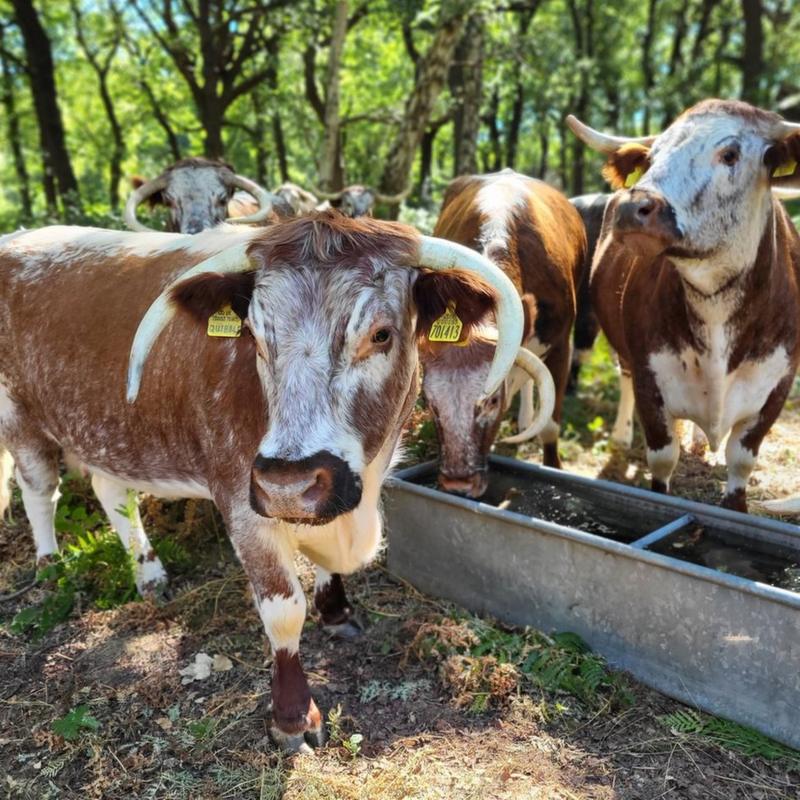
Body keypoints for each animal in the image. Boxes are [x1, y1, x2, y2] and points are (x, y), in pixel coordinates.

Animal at [0, 212, 523, 751]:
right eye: (254, 334)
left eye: (381, 335)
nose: (287, 486)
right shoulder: (242, 498)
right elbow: (283, 609)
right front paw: (293, 717)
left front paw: (337, 612)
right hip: (17, 413)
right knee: (39, 488)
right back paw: (50, 567)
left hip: (109, 431)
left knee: (112, 492)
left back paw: (148, 573)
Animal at [420, 169, 587, 497]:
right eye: (430, 403)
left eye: (492, 401)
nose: (458, 484)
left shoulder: (562, 343)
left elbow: (551, 422)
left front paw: (553, 466)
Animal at [567, 98, 800, 512]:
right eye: (652, 156)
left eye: (730, 154)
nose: (631, 206)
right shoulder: (650, 378)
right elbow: (662, 459)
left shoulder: (778, 385)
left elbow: (741, 461)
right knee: (623, 374)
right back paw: (621, 435)